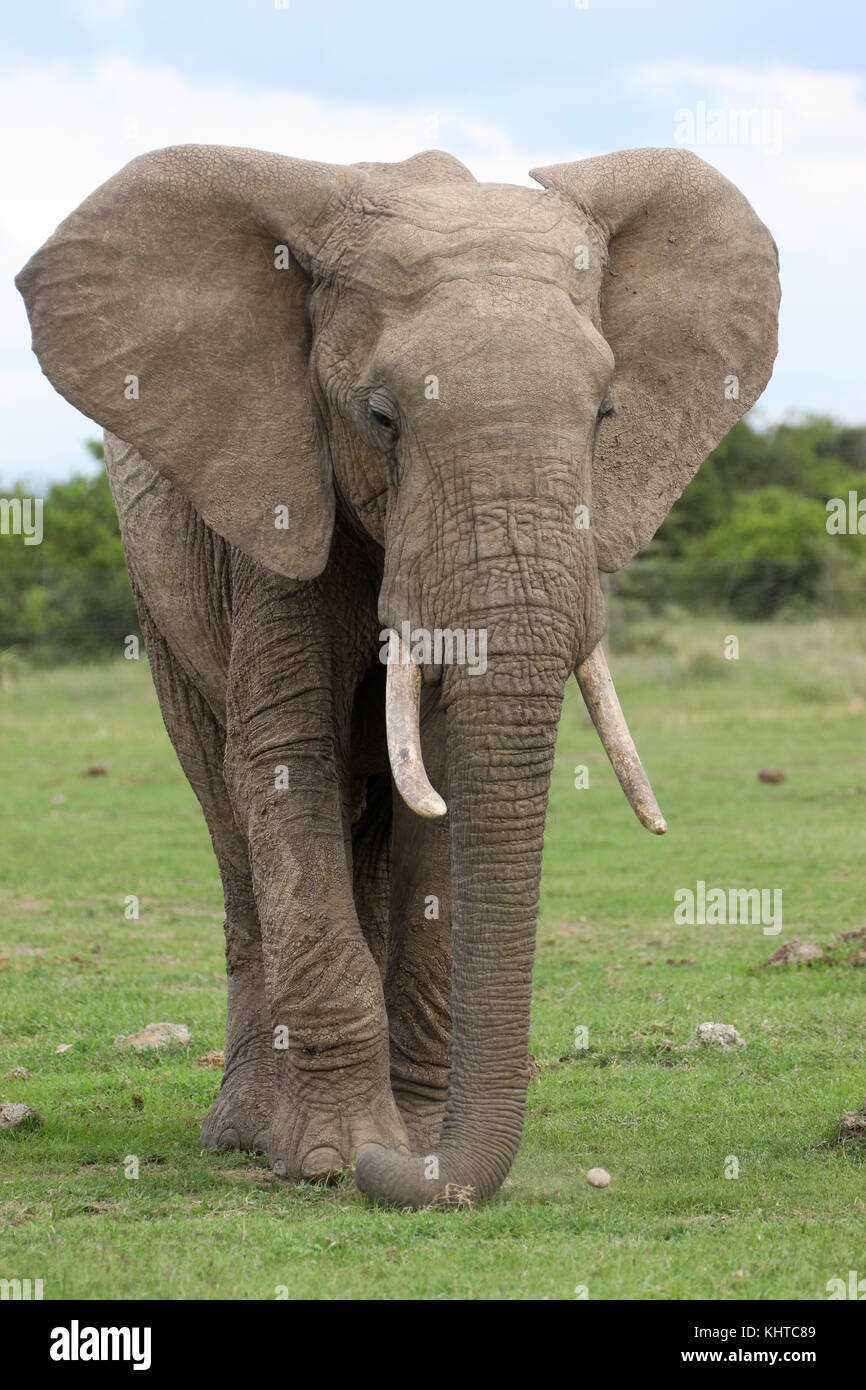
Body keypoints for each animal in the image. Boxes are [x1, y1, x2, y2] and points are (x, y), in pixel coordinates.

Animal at [16, 143, 779, 1208]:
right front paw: (339, 1160)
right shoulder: (275, 495)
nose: (404, 1168)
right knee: (229, 816)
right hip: (156, 596)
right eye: (380, 417)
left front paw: (408, 1145)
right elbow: (285, 760)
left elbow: (449, 779)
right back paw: (244, 1131)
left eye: (606, 414)